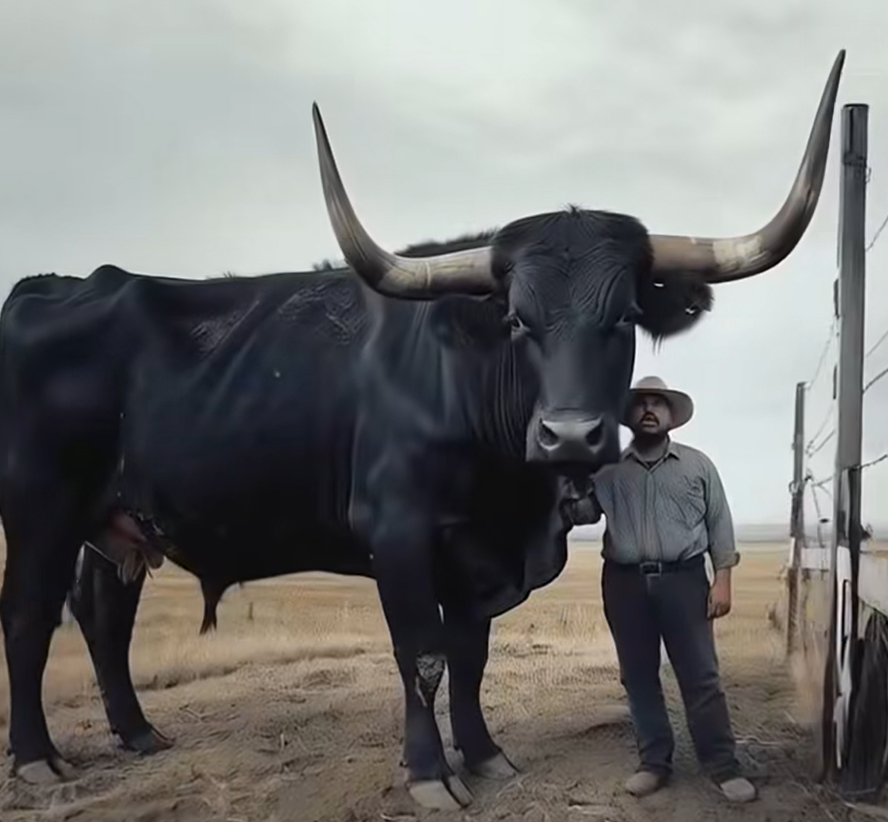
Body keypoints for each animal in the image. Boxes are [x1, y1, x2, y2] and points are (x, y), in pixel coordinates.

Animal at [0, 51, 843, 811]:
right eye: (516, 320)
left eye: (626, 316)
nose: (569, 437)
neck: (510, 492)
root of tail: (52, 286)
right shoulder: (398, 534)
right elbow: (423, 656)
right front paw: (431, 774)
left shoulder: (479, 560)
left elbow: (470, 657)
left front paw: (486, 754)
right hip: (40, 510)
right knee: (30, 615)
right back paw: (38, 759)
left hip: (113, 524)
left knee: (103, 619)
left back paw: (139, 734)